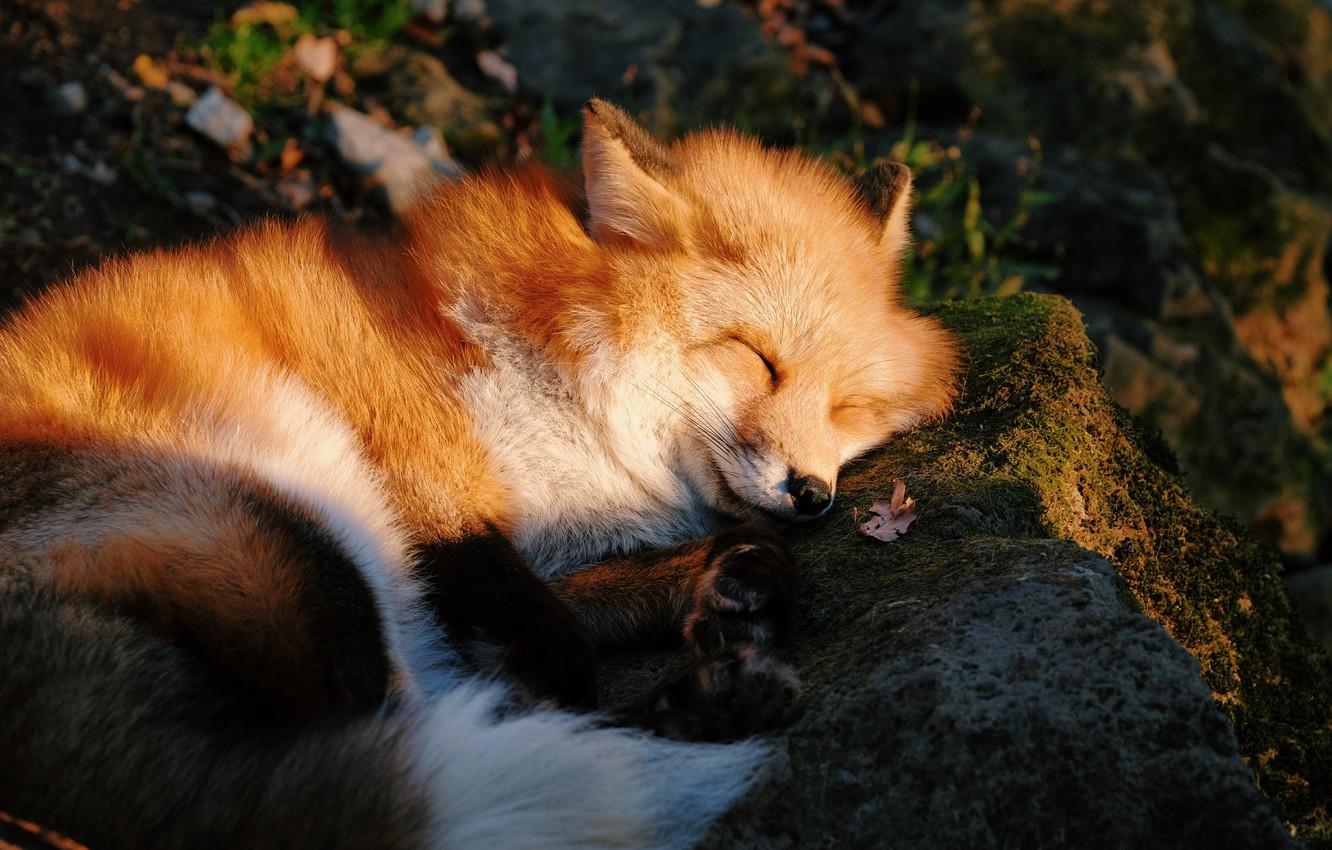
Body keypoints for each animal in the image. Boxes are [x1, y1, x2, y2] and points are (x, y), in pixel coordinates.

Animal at [0, 100, 958, 849]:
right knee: (389, 737)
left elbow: (584, 605)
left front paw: (723, 580)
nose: (812, 496)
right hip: (297, 540)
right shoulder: (423, 488)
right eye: (757, 359)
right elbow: (556, 643)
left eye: (848, 408)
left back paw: (715, 703)